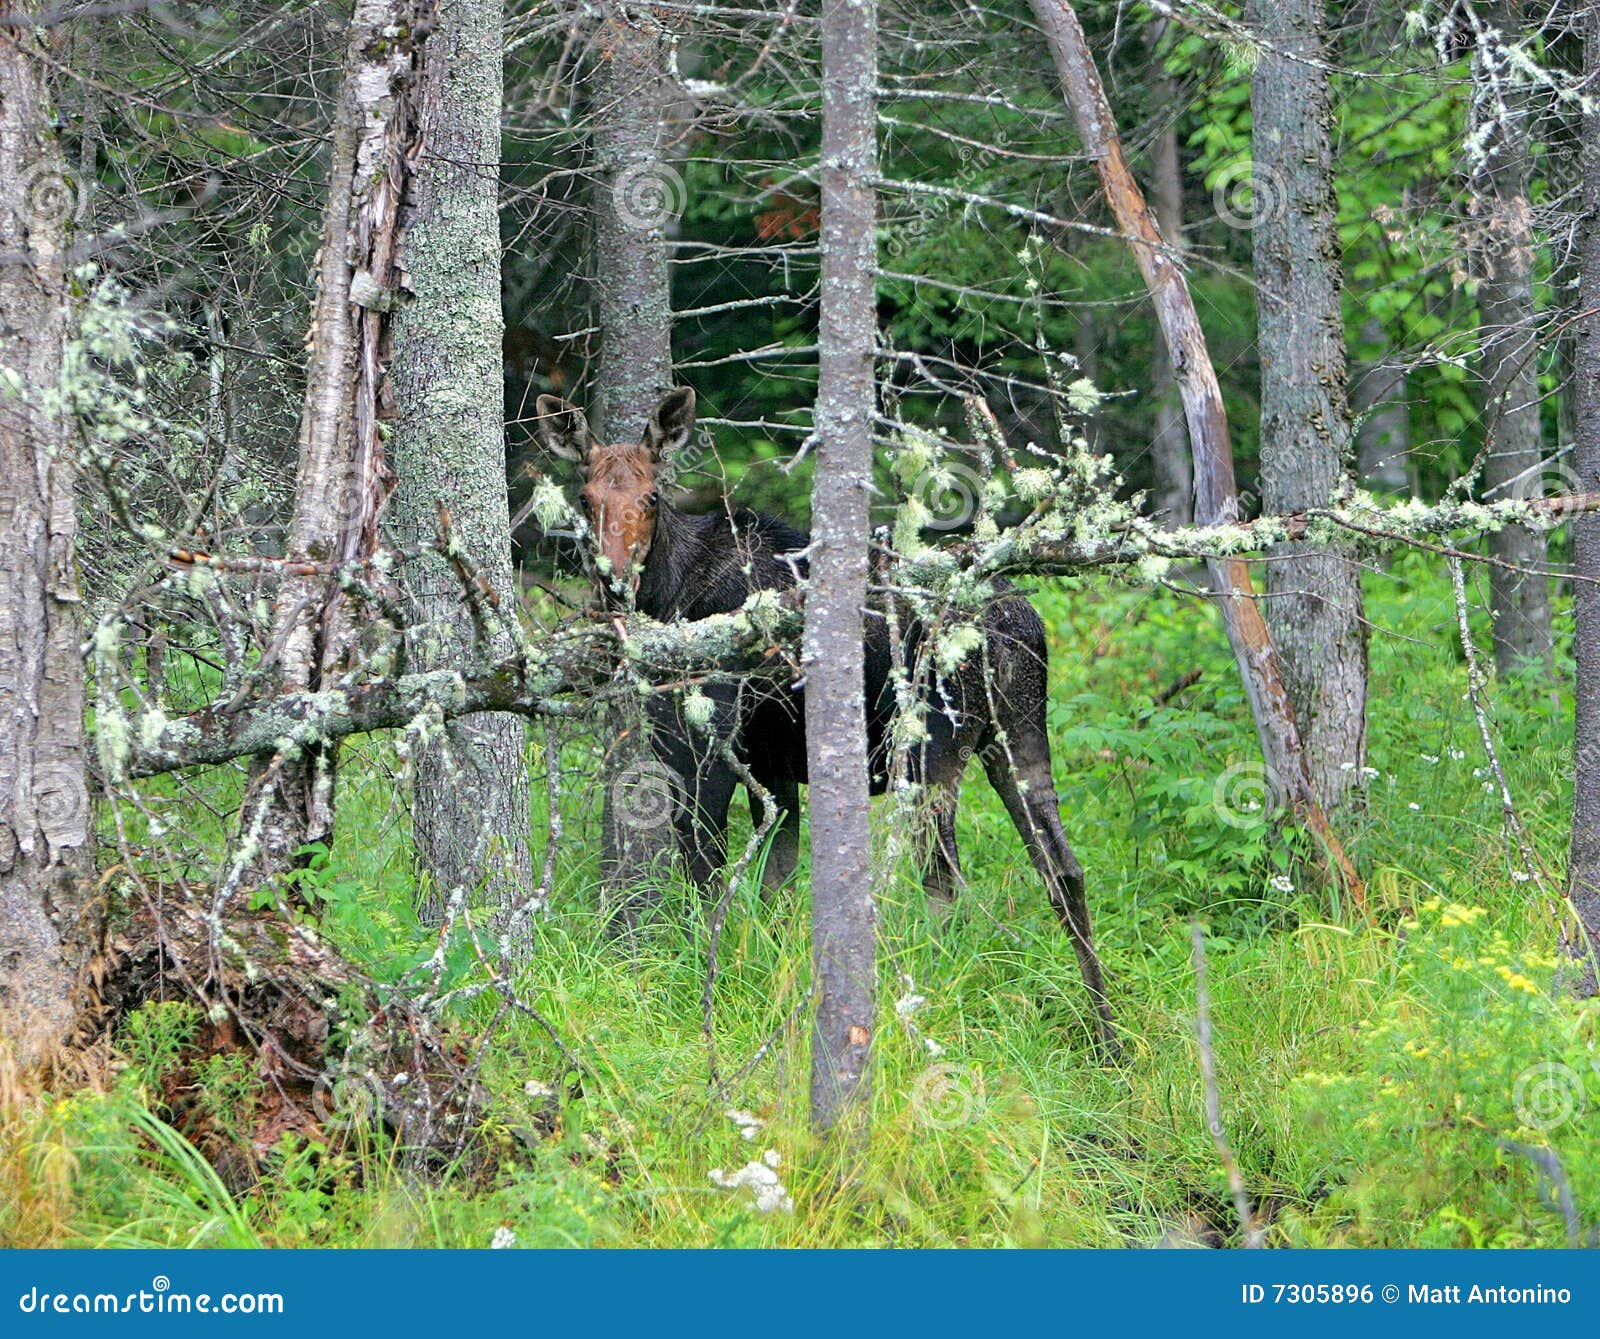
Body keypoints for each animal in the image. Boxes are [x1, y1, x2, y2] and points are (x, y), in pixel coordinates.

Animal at [537, 387, 1116, 1051]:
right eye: (586, 498)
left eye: (652, 497)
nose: (612, 578)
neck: (669, 594)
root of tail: (1016, 628)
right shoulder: (777, 767)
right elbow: (776, 887)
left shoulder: (711, 745)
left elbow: (706, 872)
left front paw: (700, 989)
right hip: (1017, 734)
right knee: (1063, 869)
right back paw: (1107, 1034)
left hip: (933, 747)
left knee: (945, 883)